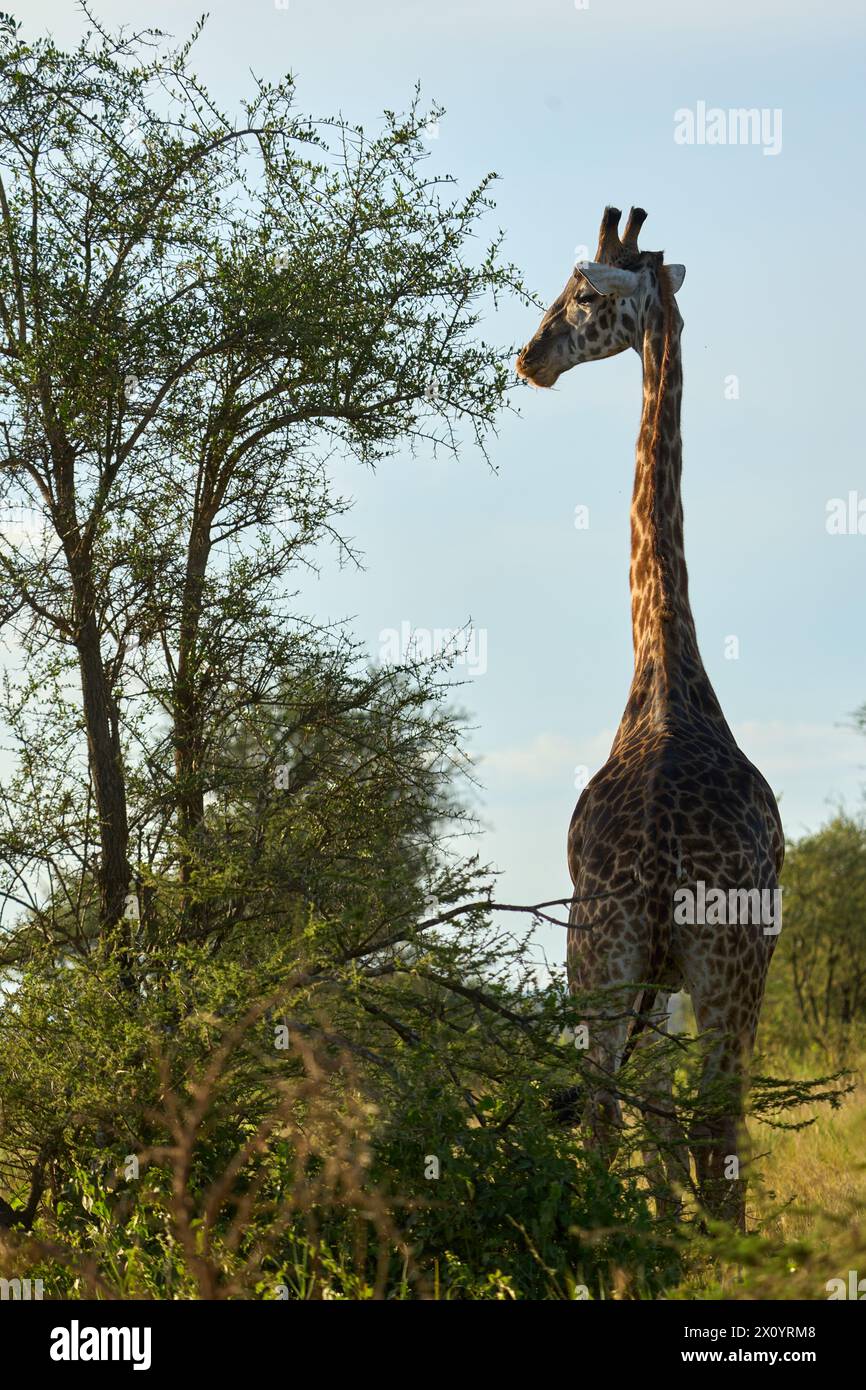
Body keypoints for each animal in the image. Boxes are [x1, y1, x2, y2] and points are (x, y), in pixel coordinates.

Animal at [515, 207, 784, 1225]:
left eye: (584, 297)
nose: (531, 357)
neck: (666, 660)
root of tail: (666, 856)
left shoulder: (656, 981)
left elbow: (652, 1127)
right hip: (700, 965)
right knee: (704, 1132)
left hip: (613, 956)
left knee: (617, 1119)